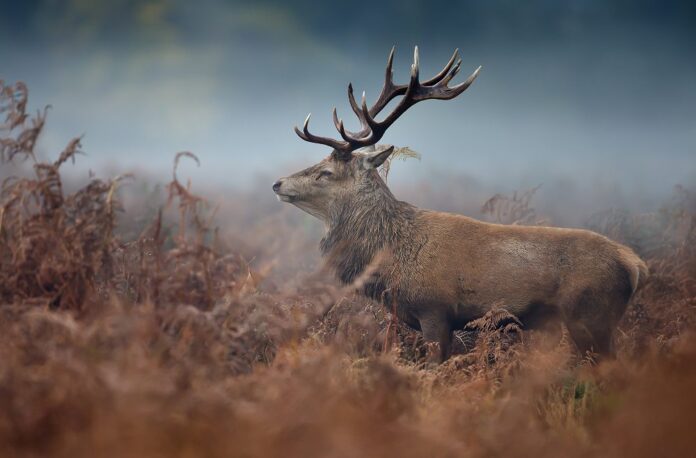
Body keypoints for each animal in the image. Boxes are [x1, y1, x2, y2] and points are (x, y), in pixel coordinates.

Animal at [273, 46, 648, 362]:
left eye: (325, 173)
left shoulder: (435, 310)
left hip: (591, 315)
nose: (277, 183)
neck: (392, 259)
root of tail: (635, 266)